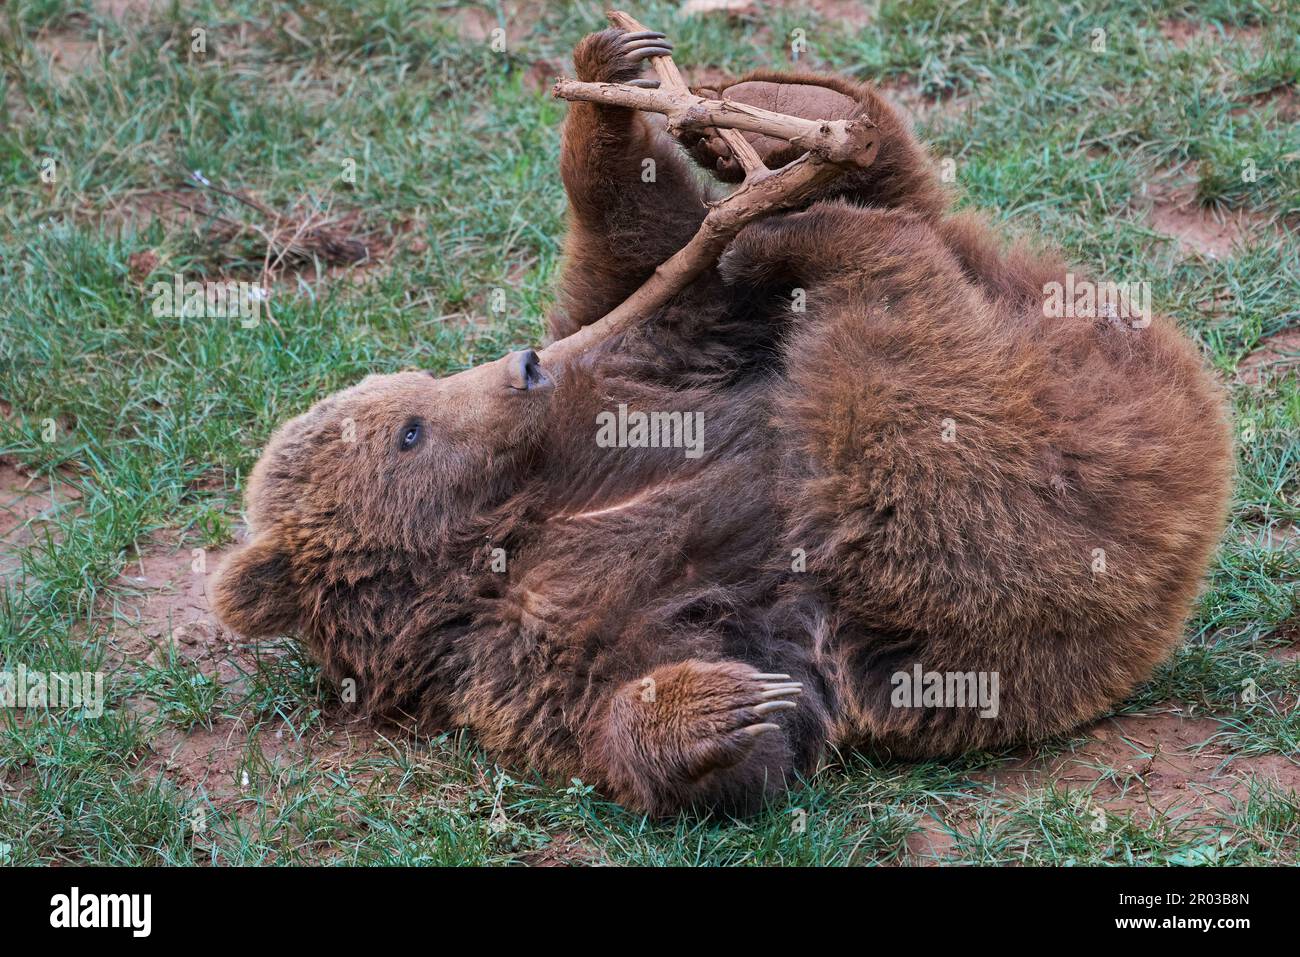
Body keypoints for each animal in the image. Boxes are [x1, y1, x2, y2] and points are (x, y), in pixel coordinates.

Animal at [211, 27, 1233, 817]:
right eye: (411, 430)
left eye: (411, 395)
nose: (523, 364)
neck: (523, 509)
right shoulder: (520, 650)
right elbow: (656, 719)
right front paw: (724, 712)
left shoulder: (645, 367)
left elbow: (641, 245)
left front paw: (615, 75)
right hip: (1017, 516)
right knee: (905, 398)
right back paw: (813, 229)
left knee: (885, 211)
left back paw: (779, 124)